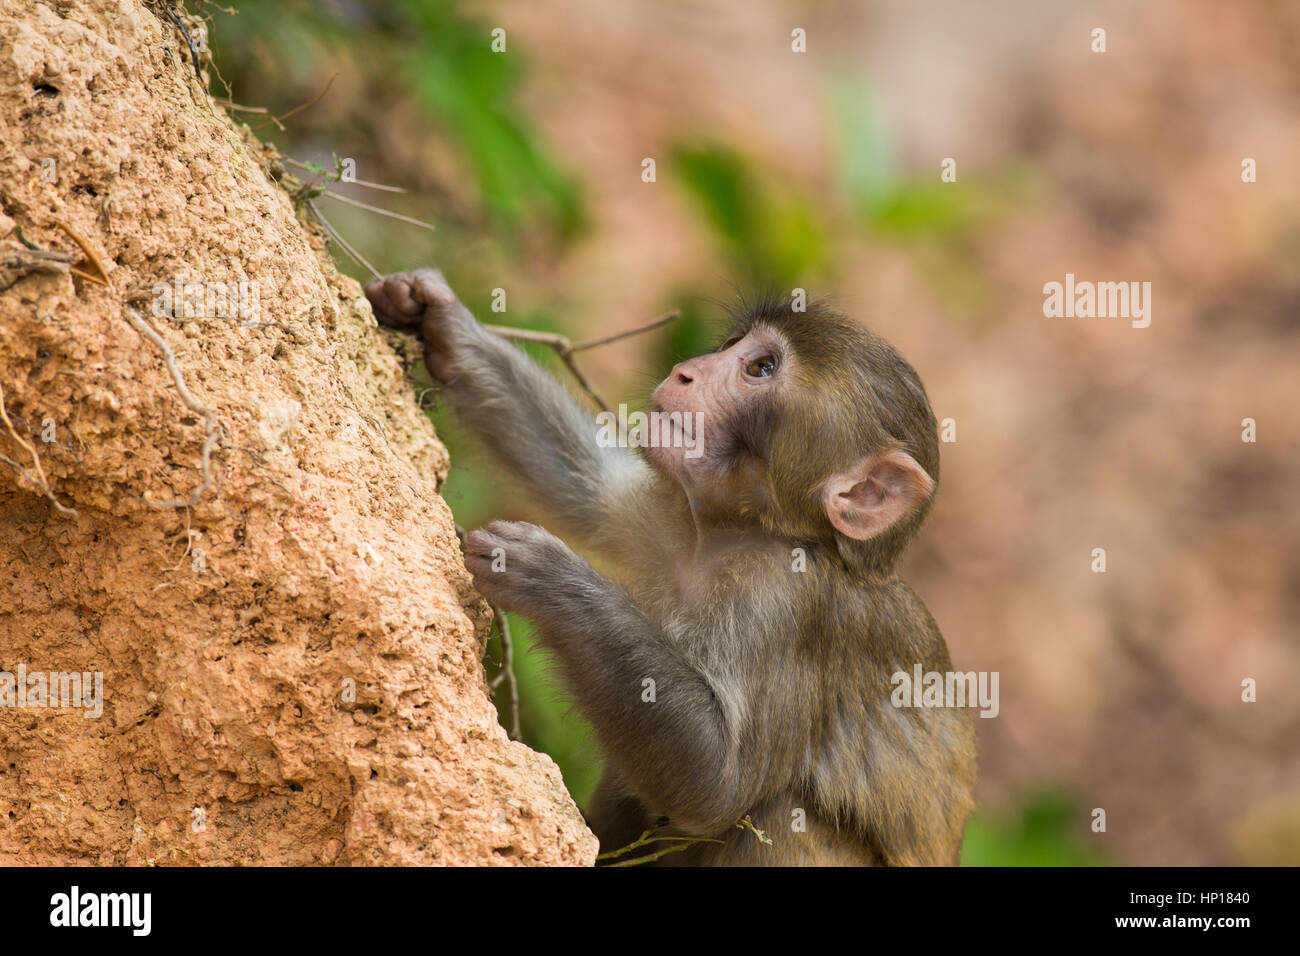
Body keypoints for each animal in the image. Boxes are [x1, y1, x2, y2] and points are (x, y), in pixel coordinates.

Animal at [365, 270, 976, 866]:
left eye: (761, 367)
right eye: (734, 345)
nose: (687, 372)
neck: (735, 535)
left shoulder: (790, 607)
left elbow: (717, 782)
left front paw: (554, 580)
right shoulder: (670, 523)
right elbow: (591, 487)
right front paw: (444, 321)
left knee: (785, 816)